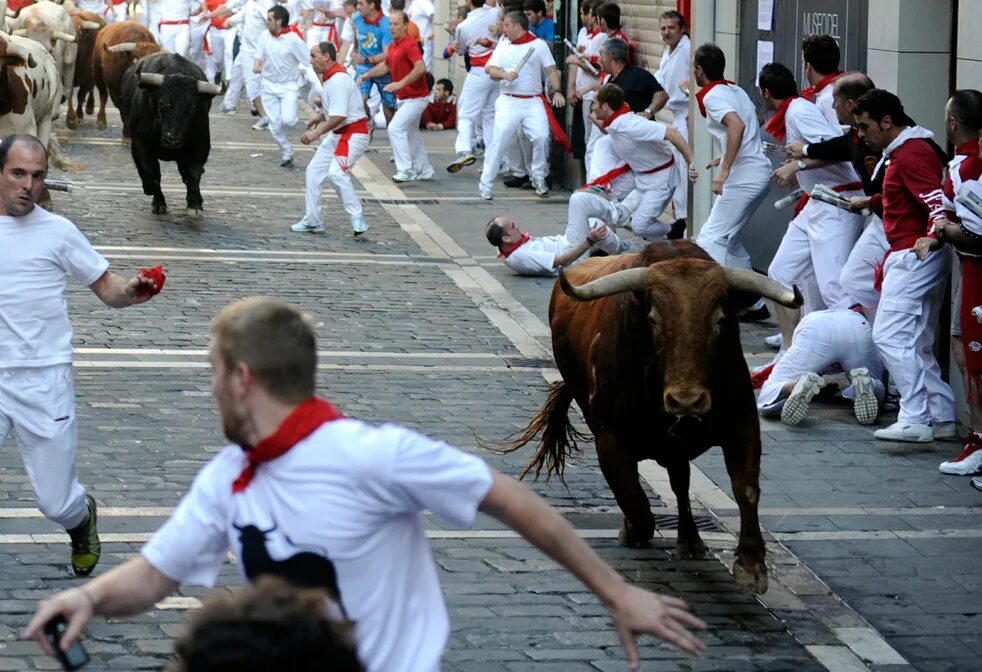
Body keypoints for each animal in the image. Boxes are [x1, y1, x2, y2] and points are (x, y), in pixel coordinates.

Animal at [119, 52, 221, 215]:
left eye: (191, 109)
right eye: (162, 105)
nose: (172, 140)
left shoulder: (201, 143)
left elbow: (193, 172)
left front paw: (195, 204)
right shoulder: (140, 142)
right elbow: (150, 172)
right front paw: (157, 201)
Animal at [500, 242, 808, 592]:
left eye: (720, 320)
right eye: (653, 319)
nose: (686, 400)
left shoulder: (741, 423)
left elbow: (745, 487)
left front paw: (751, 565)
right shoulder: (609, 440)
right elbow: (637, 503)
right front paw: (632, 529)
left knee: (681, 481)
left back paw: (690, 541)